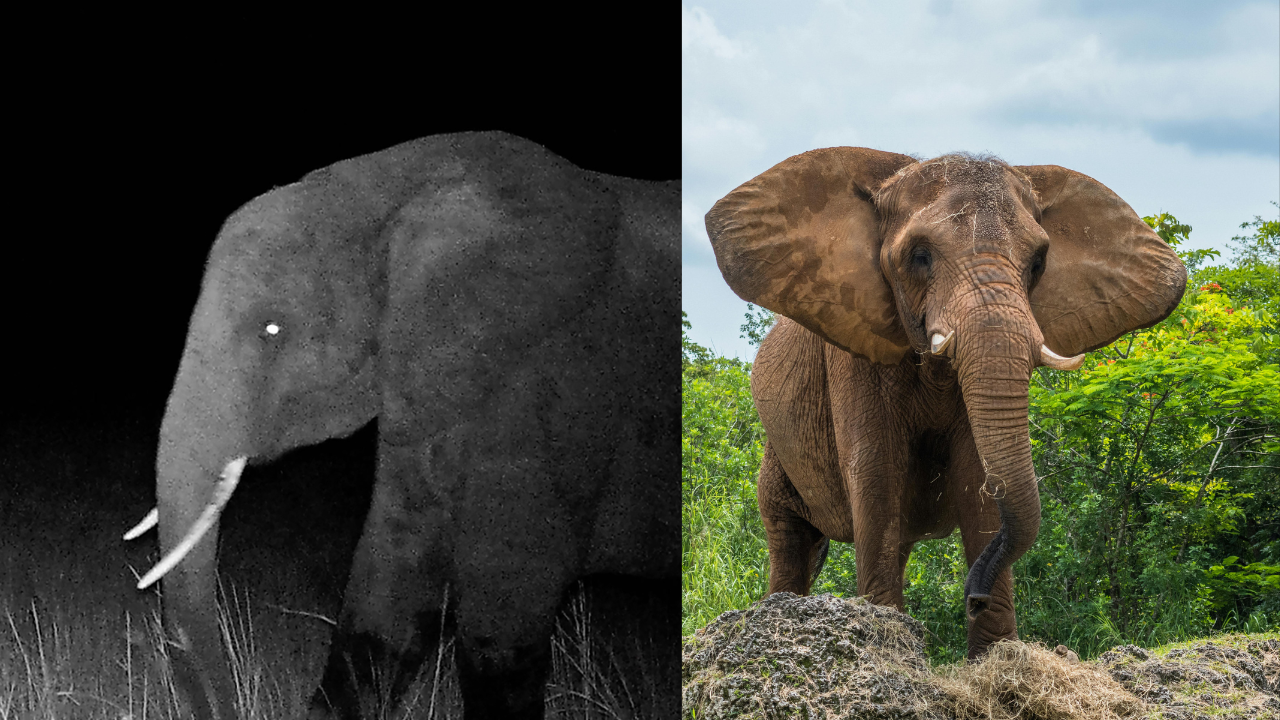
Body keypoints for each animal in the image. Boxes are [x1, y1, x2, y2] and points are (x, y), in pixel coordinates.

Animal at [123, 131, 678, 719]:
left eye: (271, 331)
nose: (231, 701)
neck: (392, 189)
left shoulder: (551, 385)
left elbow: (503, 612)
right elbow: (390, 587)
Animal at [705, 148, 1185, 658]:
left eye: (1038, 262)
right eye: (920, 256)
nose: (973, 597)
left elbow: (980, 477)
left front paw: (994, 657)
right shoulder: (855, 353)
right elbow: (876, 471)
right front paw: (889, 649)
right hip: (777, 447)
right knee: (788, 533)